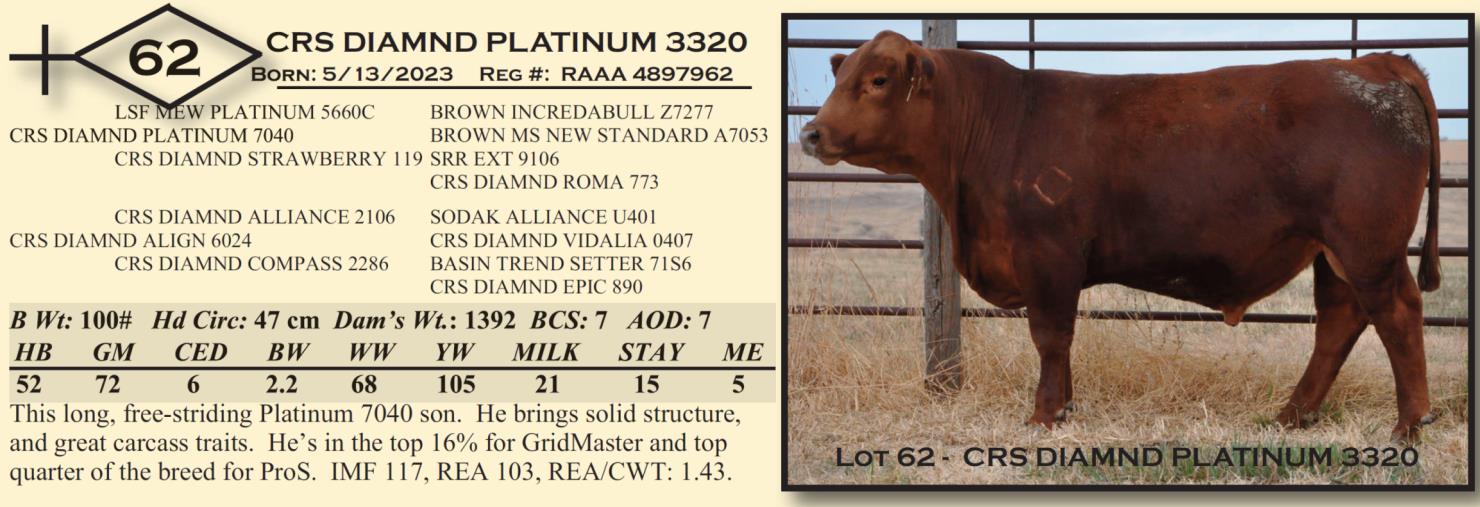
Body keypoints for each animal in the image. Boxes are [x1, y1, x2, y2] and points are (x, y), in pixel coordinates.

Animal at [801, 30, 1444, 442]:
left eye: (878, 79)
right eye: (842, 75)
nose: (811, 132)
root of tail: (1374, 64)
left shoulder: (1049, 255)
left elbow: (1051, 336)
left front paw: (1043, 416)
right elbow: (1060, 344)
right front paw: (1064, 407)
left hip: (1367, 245)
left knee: (1397, 313)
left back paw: (1409, 425)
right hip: (1332, 252)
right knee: (1340, 321)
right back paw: (1292, 416)